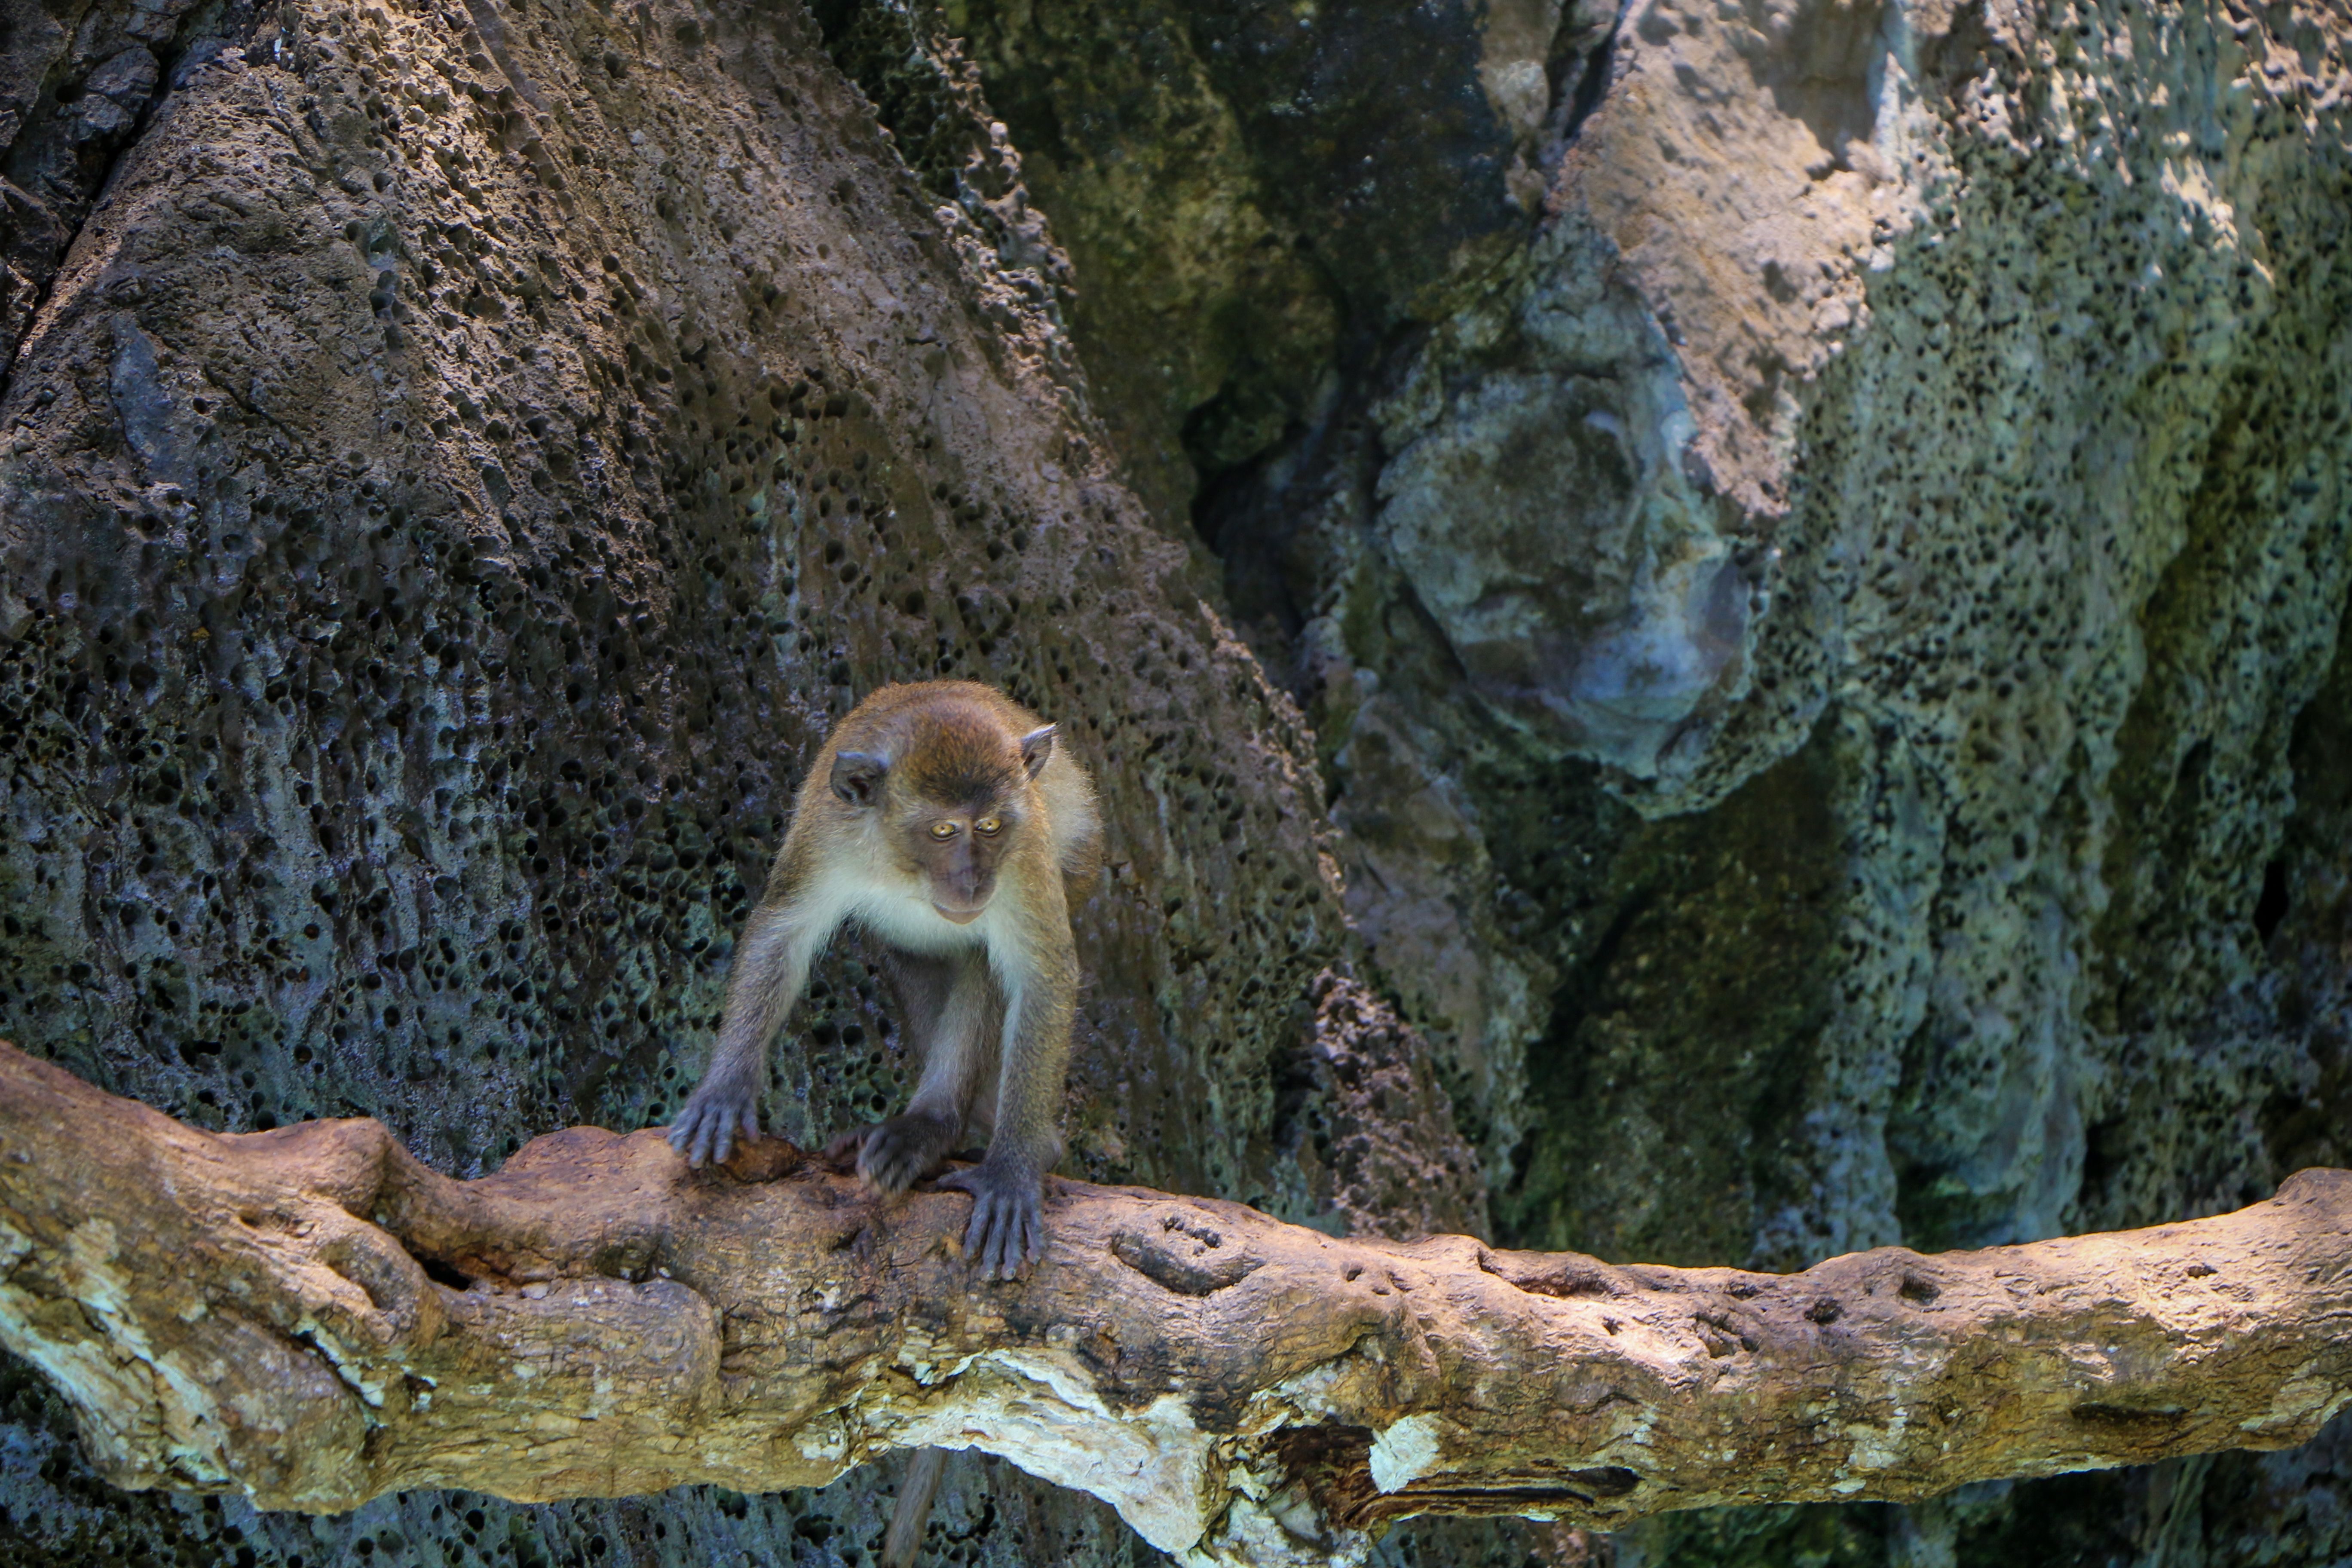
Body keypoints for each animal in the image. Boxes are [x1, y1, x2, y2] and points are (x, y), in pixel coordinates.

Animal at [665, 679, 1100, 1282]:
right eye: (943, 830)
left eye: (990, 827)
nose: (972, 881)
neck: (903, 867)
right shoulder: (828, 833)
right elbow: (783, 932)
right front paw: (725, 1090)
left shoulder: (1027, 850)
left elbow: (1041, 975)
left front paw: (1012, 1171)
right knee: (914, 958)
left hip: (1076, 862)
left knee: (984, 966)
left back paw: (936, 1126)